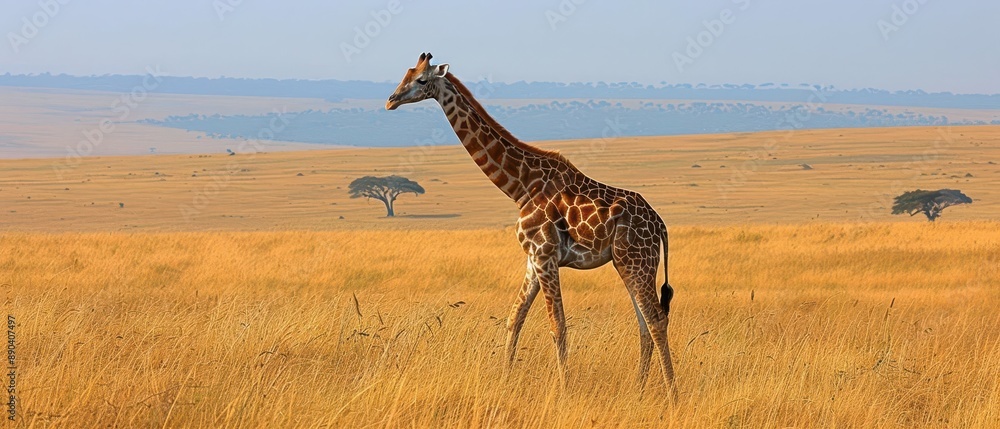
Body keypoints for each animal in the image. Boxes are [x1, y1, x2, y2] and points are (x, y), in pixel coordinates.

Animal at [386, 53, 677, 397]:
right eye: (404, 74)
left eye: (421, 80)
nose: (390, 101)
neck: (520, 186)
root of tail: (660, 224)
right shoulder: (532, 259)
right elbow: (515, 318)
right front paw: (504, 379)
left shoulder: (545, 255)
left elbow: (558, 326)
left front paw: (564, 389)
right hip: (628, 263)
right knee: (644, 322)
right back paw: (638, 389)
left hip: (637, 261)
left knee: (656, 320)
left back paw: (672, 393)